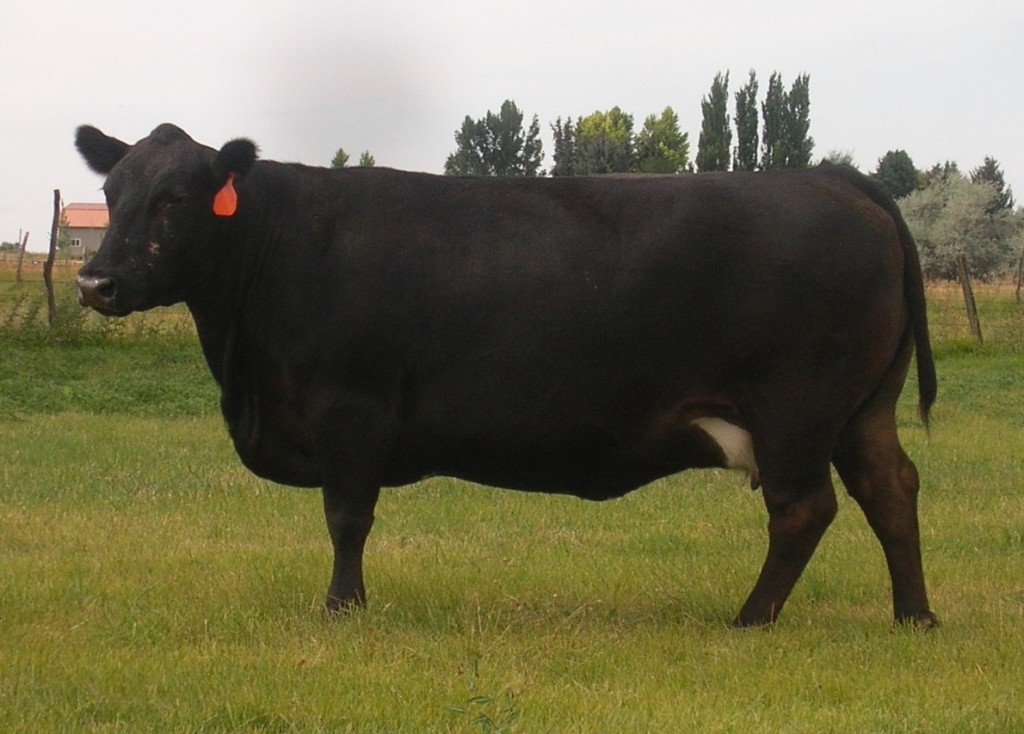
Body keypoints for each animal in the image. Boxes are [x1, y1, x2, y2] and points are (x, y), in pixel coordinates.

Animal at [75, 123, 937, 628]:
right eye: (110, 192)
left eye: (173, 198)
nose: (94, 281)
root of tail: (831, 176)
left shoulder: (354, 408)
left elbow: (347, 517)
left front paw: (342, 610)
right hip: (863, 407)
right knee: (890, 487)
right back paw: (913, 616)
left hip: (797, 409)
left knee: (804, 509)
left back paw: (753, 617)